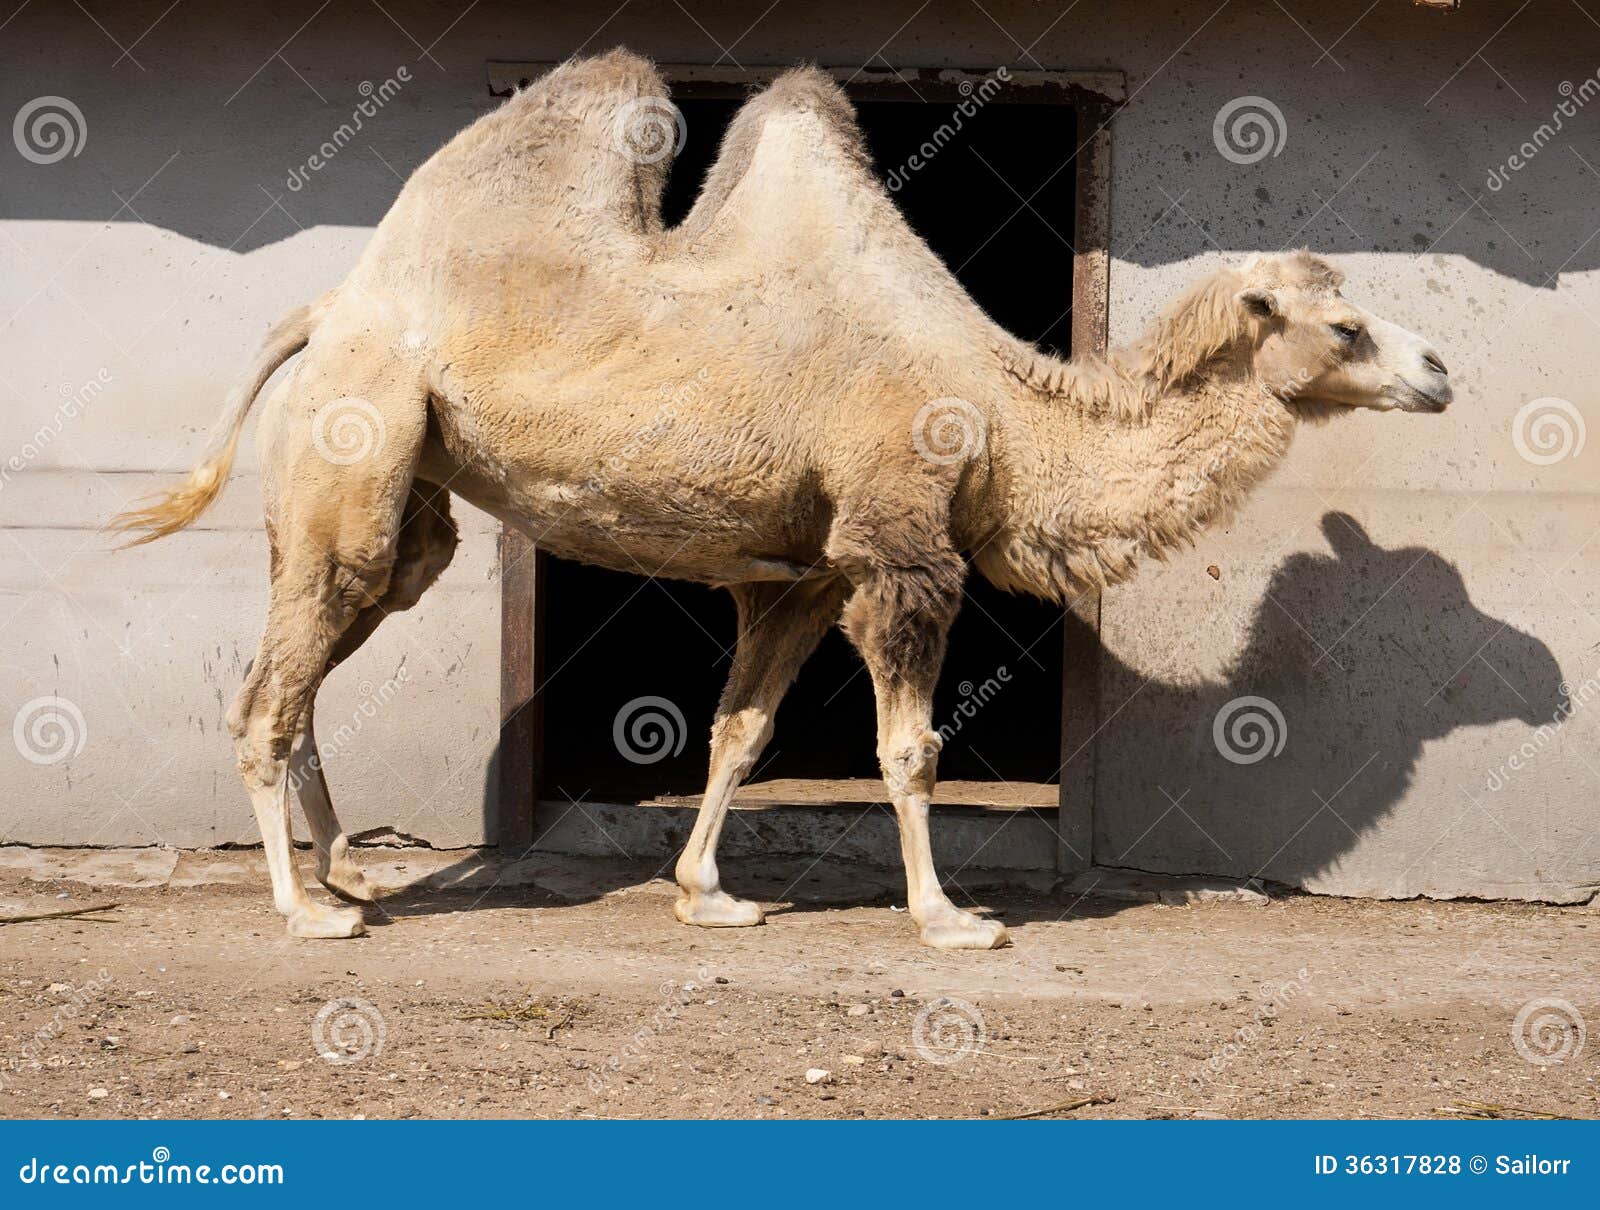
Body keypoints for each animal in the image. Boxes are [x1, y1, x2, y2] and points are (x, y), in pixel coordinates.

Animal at [113, 50, 1452, 949]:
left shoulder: (808, 571)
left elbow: (740, 732)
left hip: (406, 493)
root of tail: (327, 308)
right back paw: (305, 910)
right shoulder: (902, 547)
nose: (1440, 368)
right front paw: (948, 918)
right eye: (1345, 325)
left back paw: (346, 875)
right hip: (361, 434)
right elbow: (907, 748)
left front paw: (707, 893)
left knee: (329, 643)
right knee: (269, 690)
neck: (1004, 408)